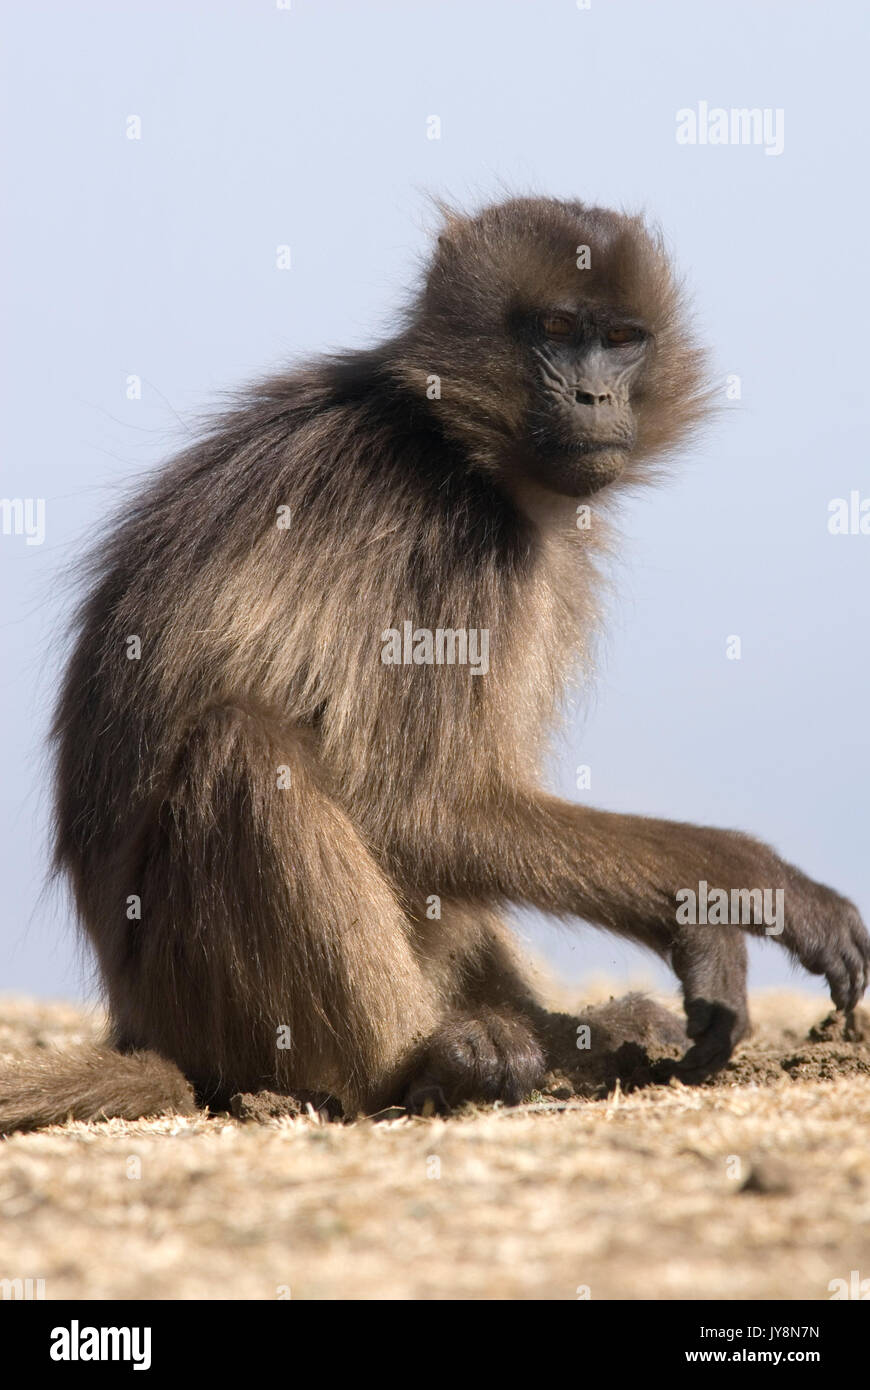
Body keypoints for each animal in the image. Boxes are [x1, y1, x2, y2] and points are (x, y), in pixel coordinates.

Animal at [1, 195, 867, 1134]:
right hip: (197, 992)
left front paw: (698, 936)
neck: (455, 438)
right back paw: (425, 1064)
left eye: (622, 338)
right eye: (555, 329)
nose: (595, 394)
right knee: (245, 748)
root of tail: (143, 1024)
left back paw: (575, 1039)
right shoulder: (459, 549)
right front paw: (752, 888)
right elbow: (424, 809)